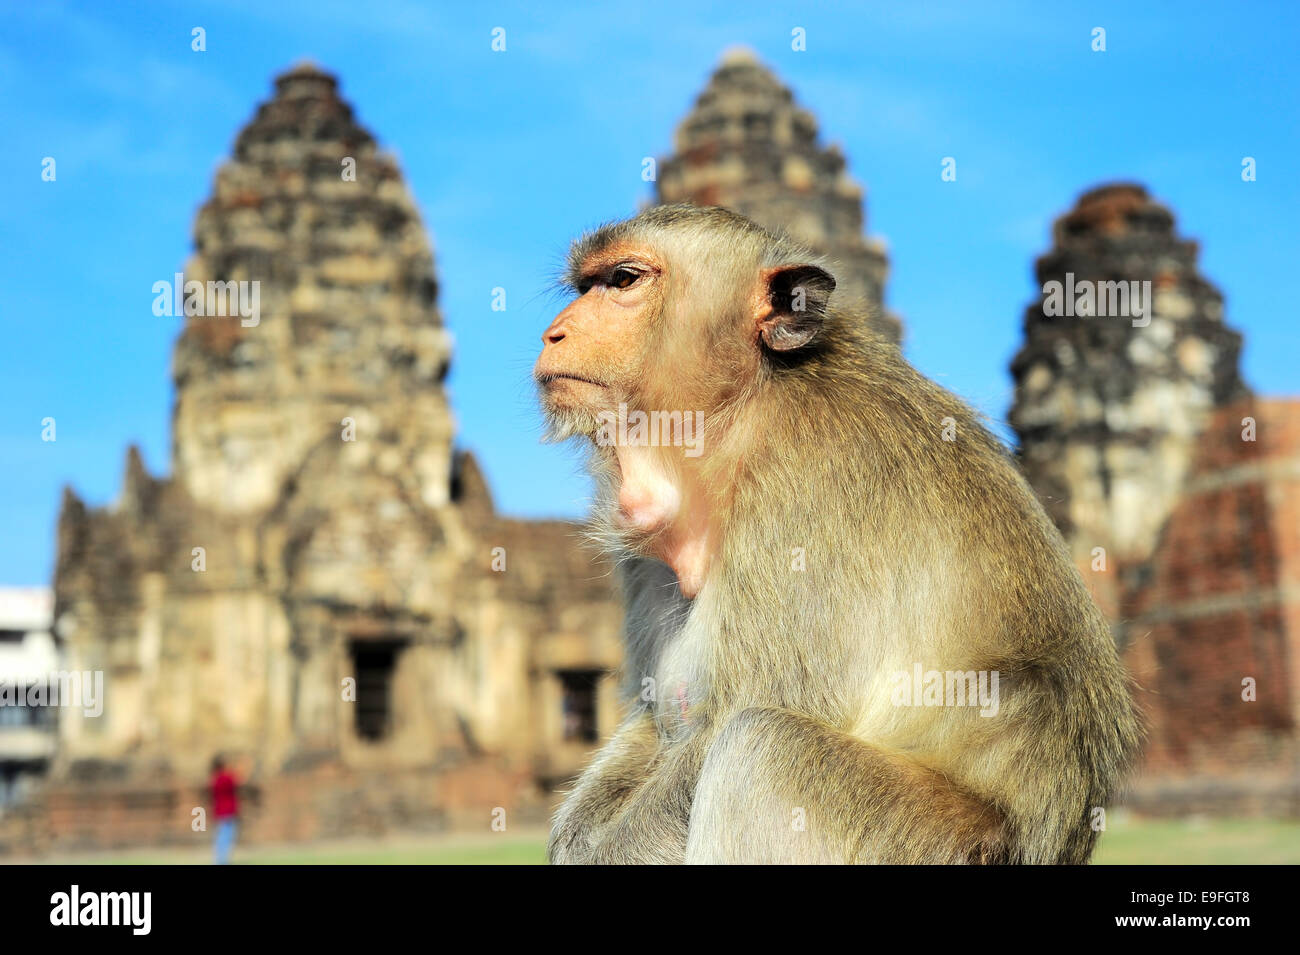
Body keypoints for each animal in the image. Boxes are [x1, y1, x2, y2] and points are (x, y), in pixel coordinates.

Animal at [534, 204, 1140, 864]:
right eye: (585, 286)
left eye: (623, 280)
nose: (553, 334)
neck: (742, 413)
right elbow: (654, 718)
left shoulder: (802, 489)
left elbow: (727, 727)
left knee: (762, 748)